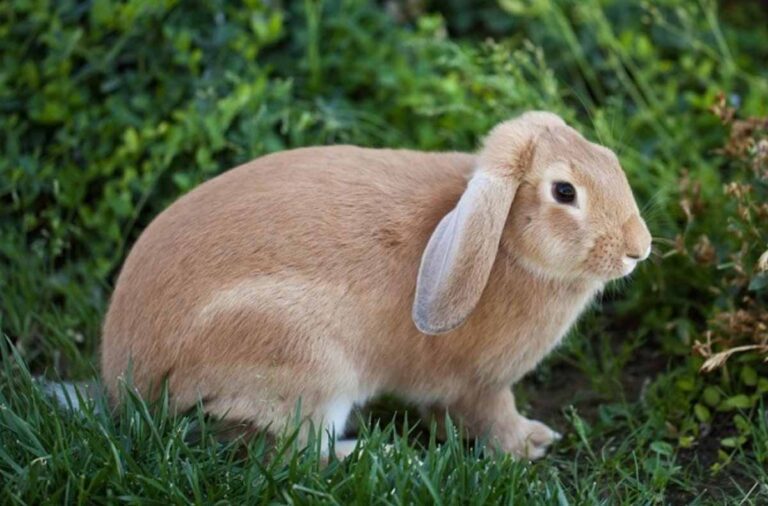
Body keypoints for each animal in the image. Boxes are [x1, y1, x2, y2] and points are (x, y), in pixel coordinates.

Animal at [101, 111, 651, 460]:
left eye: (608, 157)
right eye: (564, 192)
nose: (638, 249)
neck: (503, 243)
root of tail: (126, 379)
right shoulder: (482, 386)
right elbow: (493, 416)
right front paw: (532, 444)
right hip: (309, 369)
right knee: (300, 457)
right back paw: (380, 451)